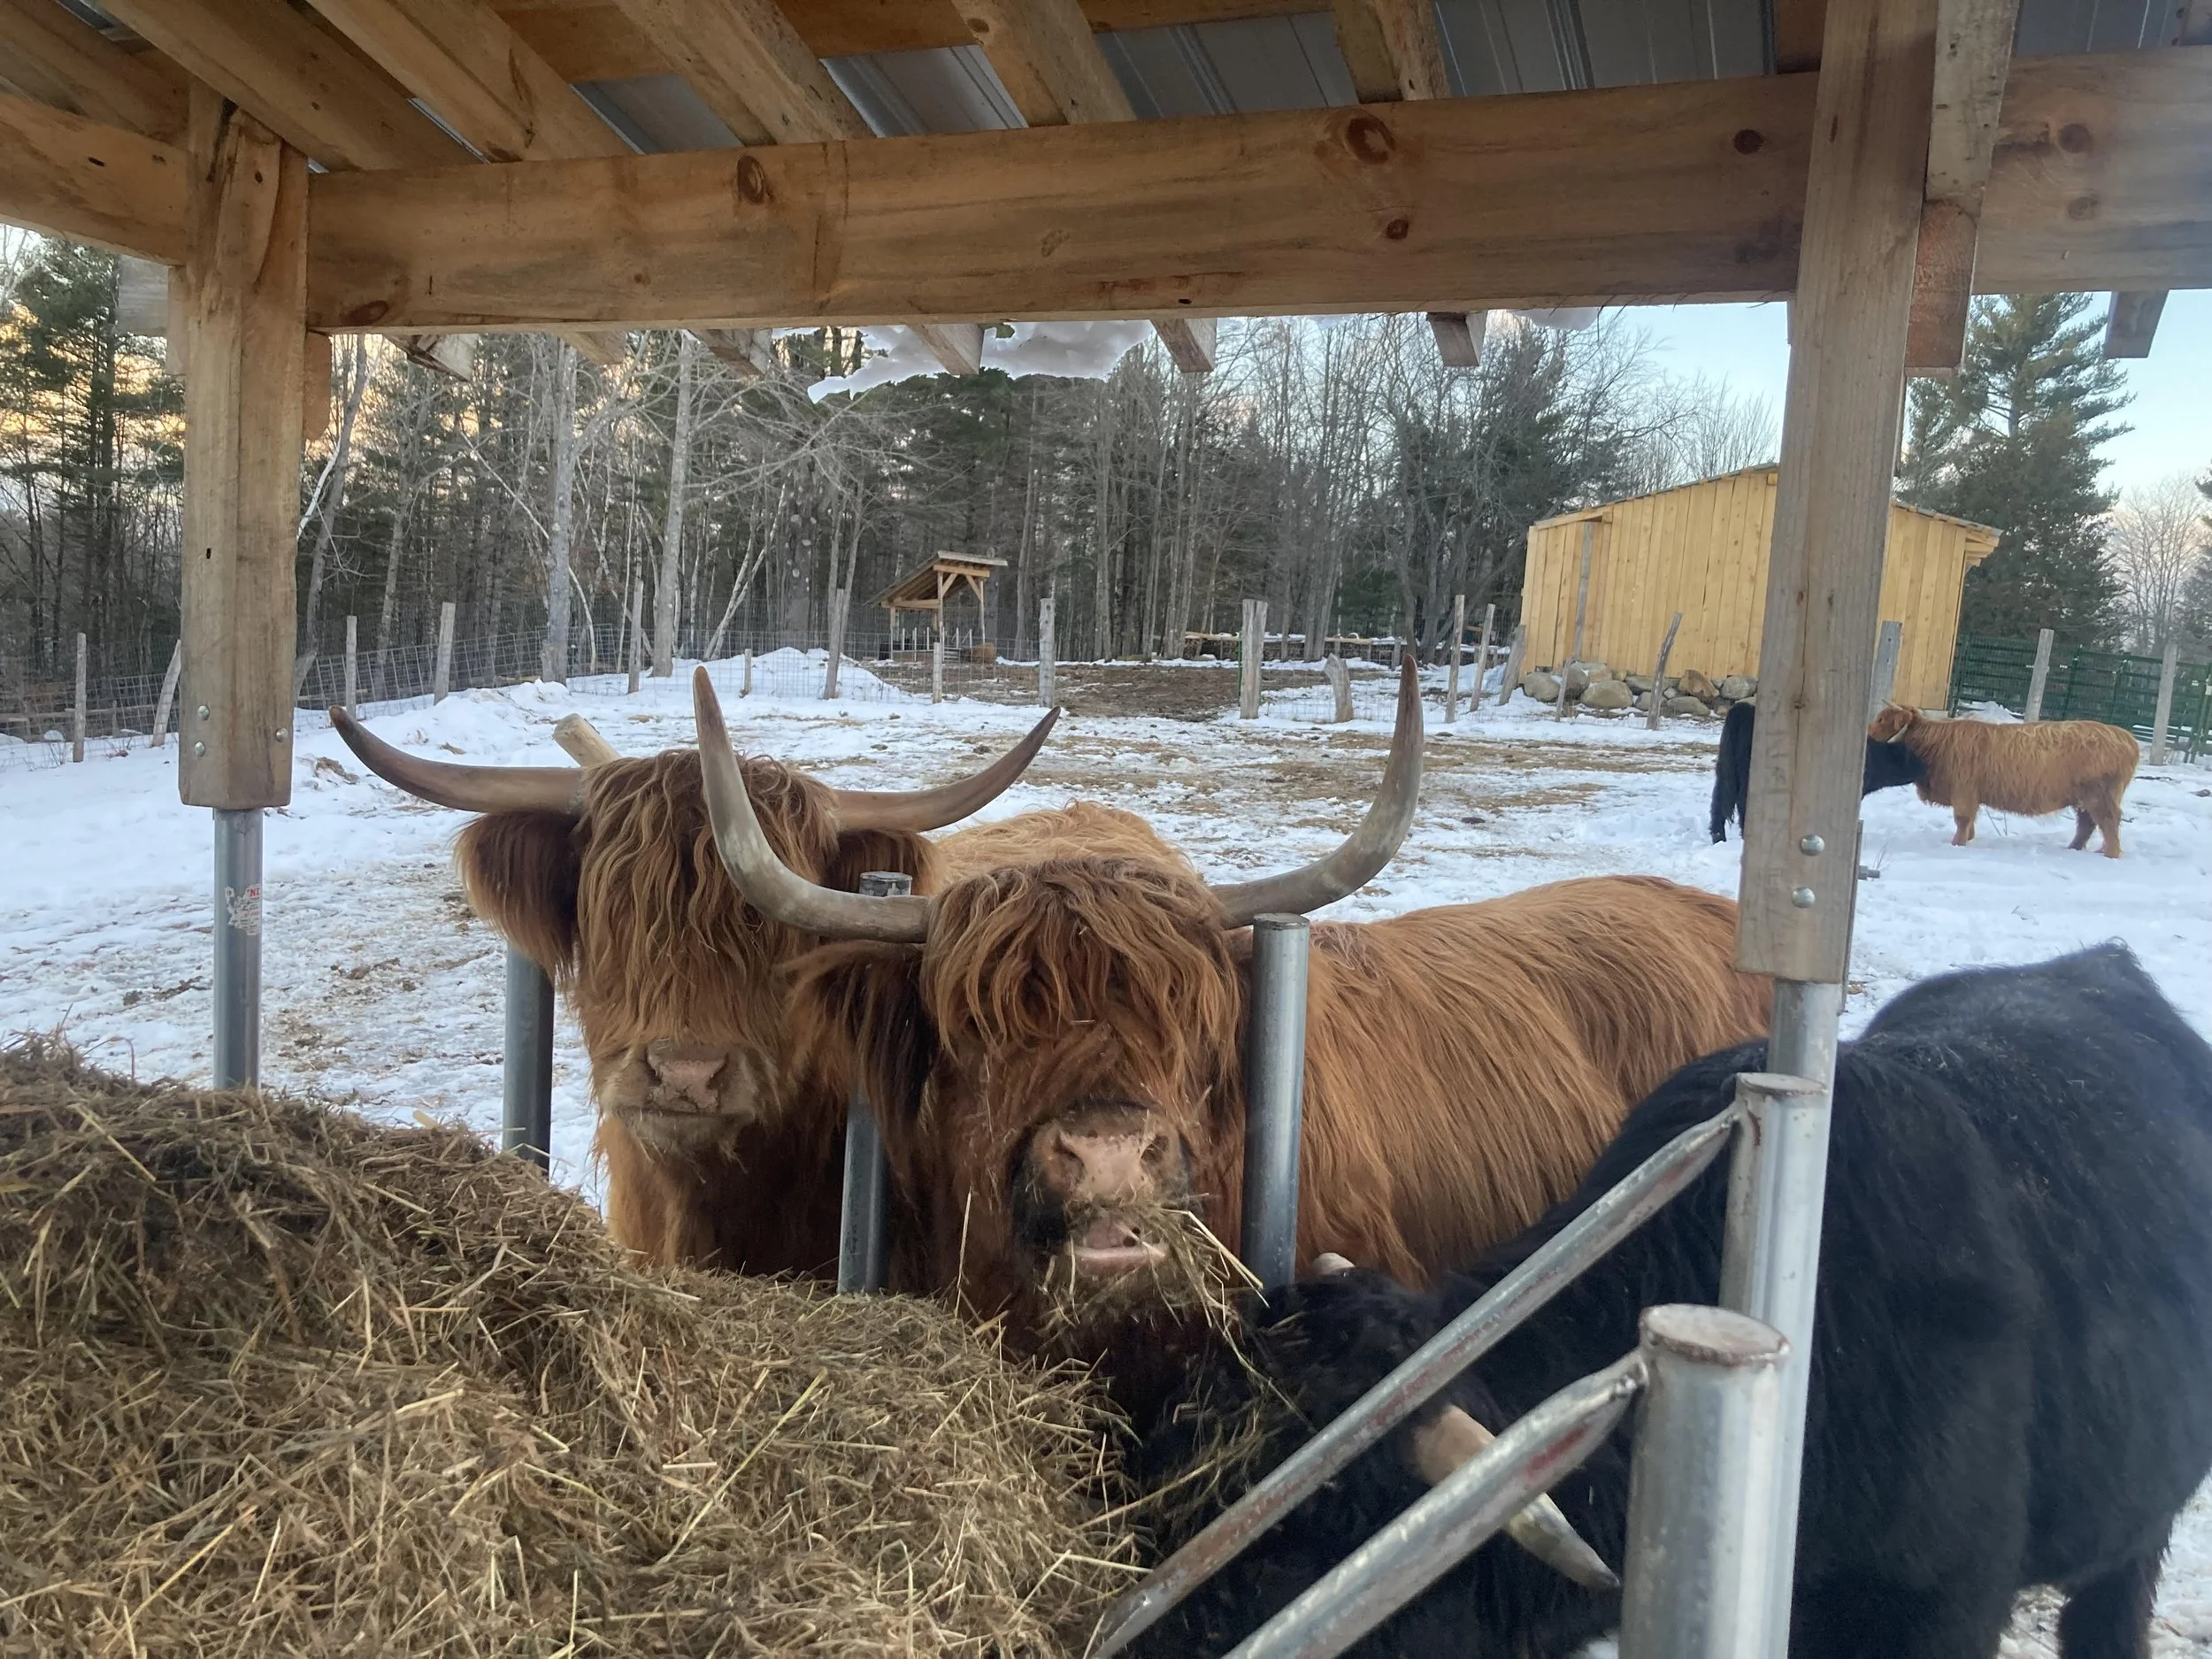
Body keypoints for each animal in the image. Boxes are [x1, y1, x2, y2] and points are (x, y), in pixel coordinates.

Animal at [1867, 704, 2139, 857]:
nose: (1866, 735)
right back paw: (2075, 848)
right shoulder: (1971, 793)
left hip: (2100, 794)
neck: (1933, 743)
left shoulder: (1963, 789)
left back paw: (2110, 854)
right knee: (2087, 824)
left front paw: (1957, 845)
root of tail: (2126, 737)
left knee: (2108, 822)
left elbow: (1962, 819)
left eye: (1882, 720)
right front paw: (1969, 839)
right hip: (2085, 797)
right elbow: (1970, 821)